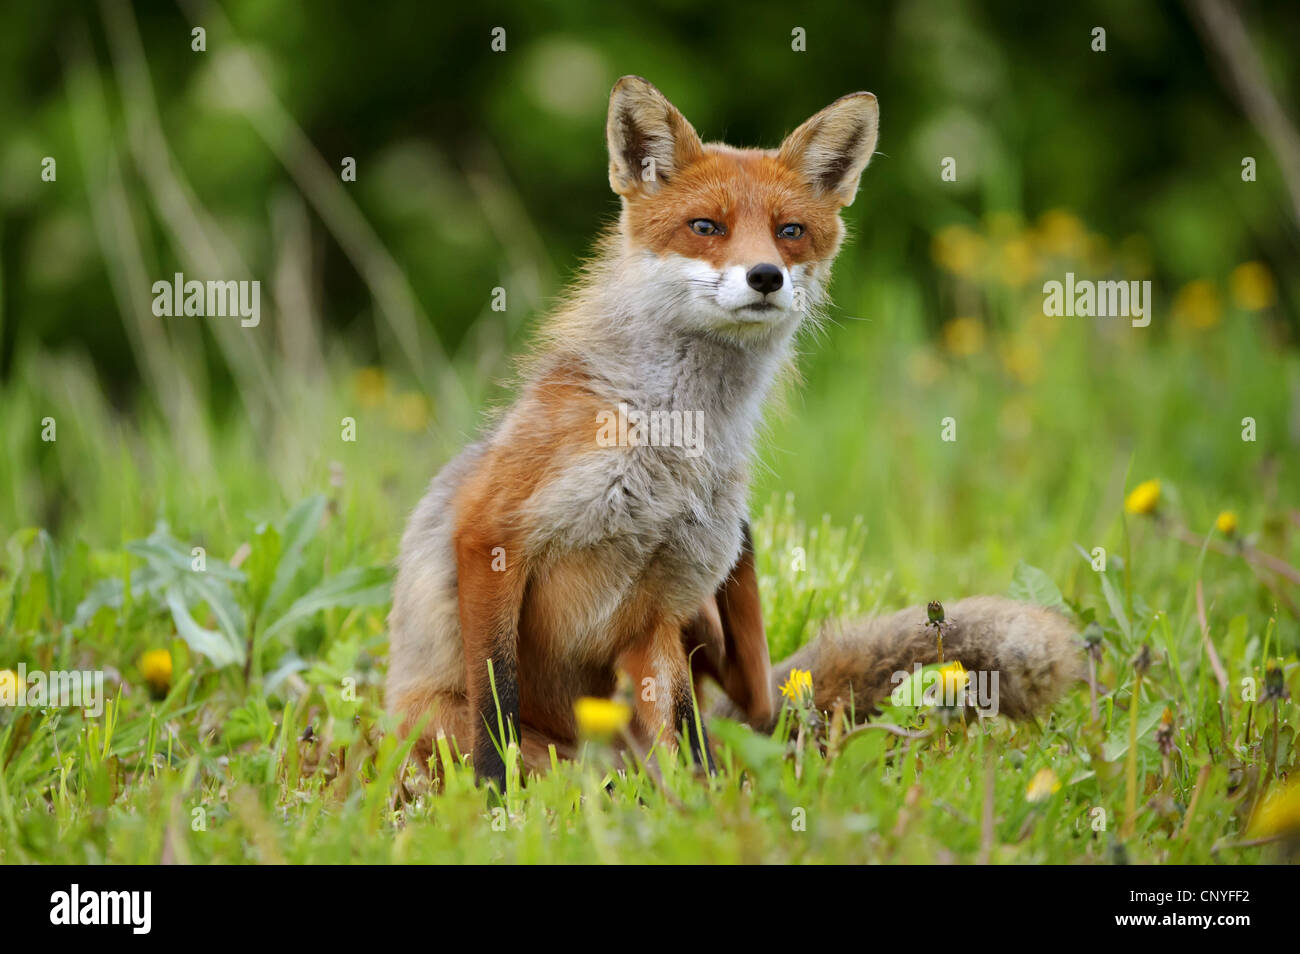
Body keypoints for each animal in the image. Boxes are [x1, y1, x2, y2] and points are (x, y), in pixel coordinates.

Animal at [386, 76, 1083, 789]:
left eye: (789, 232)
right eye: (706, 227)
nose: (765, 276)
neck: (670, 439)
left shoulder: (661, 609)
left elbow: (686, 731)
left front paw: (706, 806)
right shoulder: (492, 534)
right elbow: (496, 702)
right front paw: (493, 797)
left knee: (742, 700)